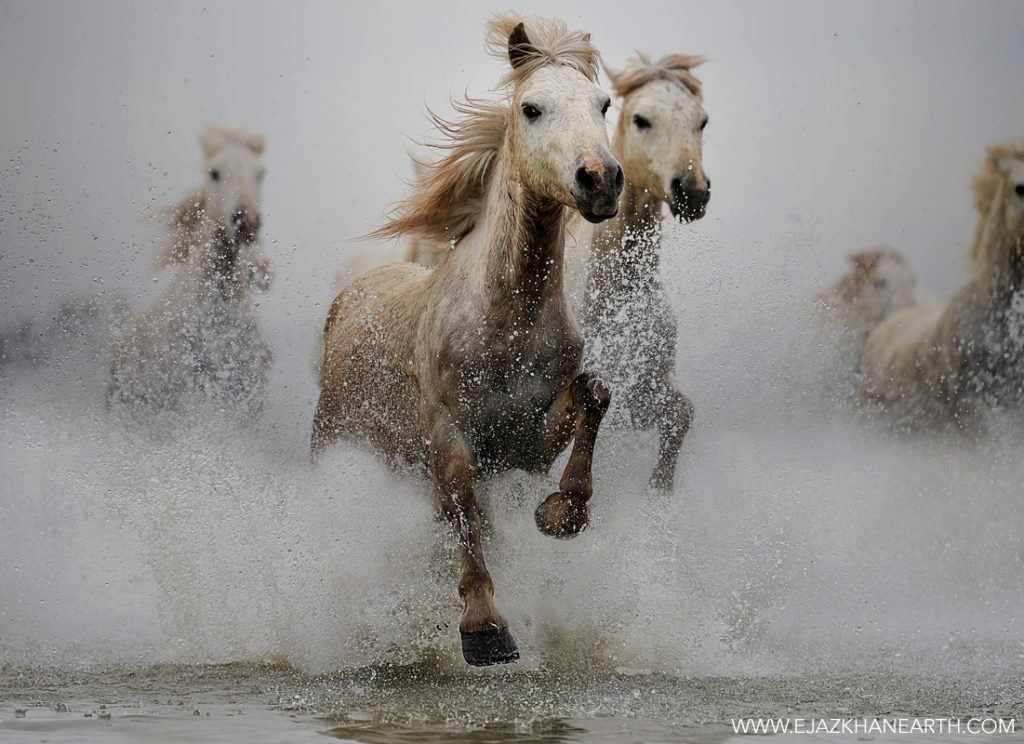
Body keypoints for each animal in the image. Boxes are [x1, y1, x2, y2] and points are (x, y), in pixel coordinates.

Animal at [312, 14, 622, 666]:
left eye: (603, 103)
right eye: (531, 107)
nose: (601, 179)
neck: (507, 321)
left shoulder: (526, 443)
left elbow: (594, 395)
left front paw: (561, 513)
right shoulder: (447, 431)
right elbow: (462, 505)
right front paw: (484, 629)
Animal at [579, 53, 710, 491]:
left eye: (702, 121)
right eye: (641, 119)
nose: (692, 191)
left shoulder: (643, 392)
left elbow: (680, 414)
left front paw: (659, 492)